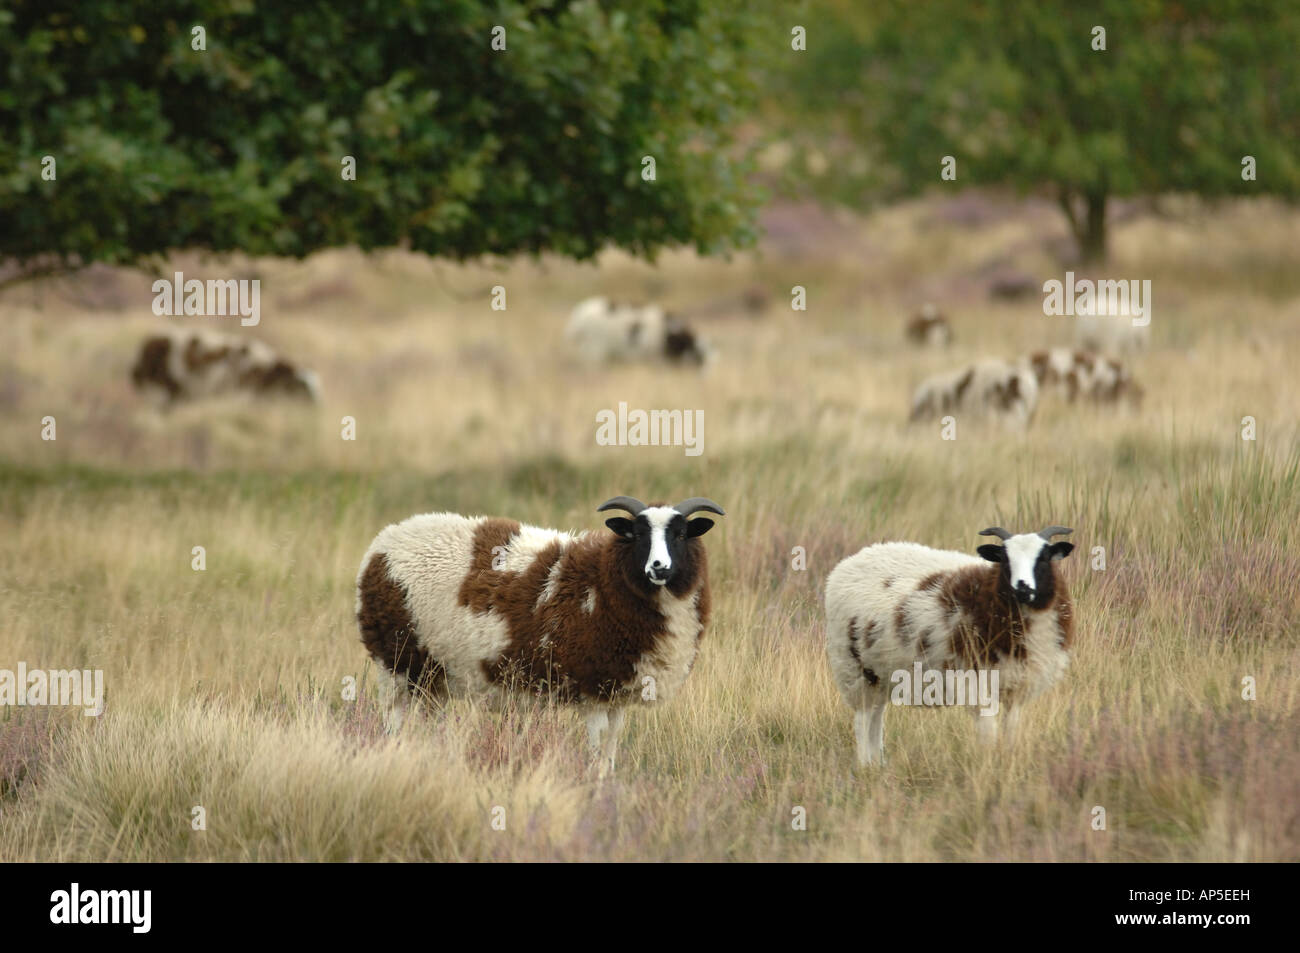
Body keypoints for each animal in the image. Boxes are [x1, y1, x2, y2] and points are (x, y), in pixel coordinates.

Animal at [354, 495, 725, 775]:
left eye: (681, 535)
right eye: (636, 535)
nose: (658, 567)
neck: (603, 580)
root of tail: (380, 546)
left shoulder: (618, 692)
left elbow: (611, 744)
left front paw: (607, 782)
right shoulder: (592, 688)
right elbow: (597, 743)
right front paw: (594, 788)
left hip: (434, 675)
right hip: (395, 663)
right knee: (393, 722)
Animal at [825, 526, 1076, 766]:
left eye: (1043, 558)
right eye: (1005, 559)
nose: (1022, 588)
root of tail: (848, 563)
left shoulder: (1019, 684)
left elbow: (1010, 728)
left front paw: (1007, 758)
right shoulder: (972, 679)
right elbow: (988, 730)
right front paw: (988, 763)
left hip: (879, 674)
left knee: (876, 717)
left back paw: (877, 763)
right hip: (854, 668)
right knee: (863, 719)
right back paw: (864, 764)